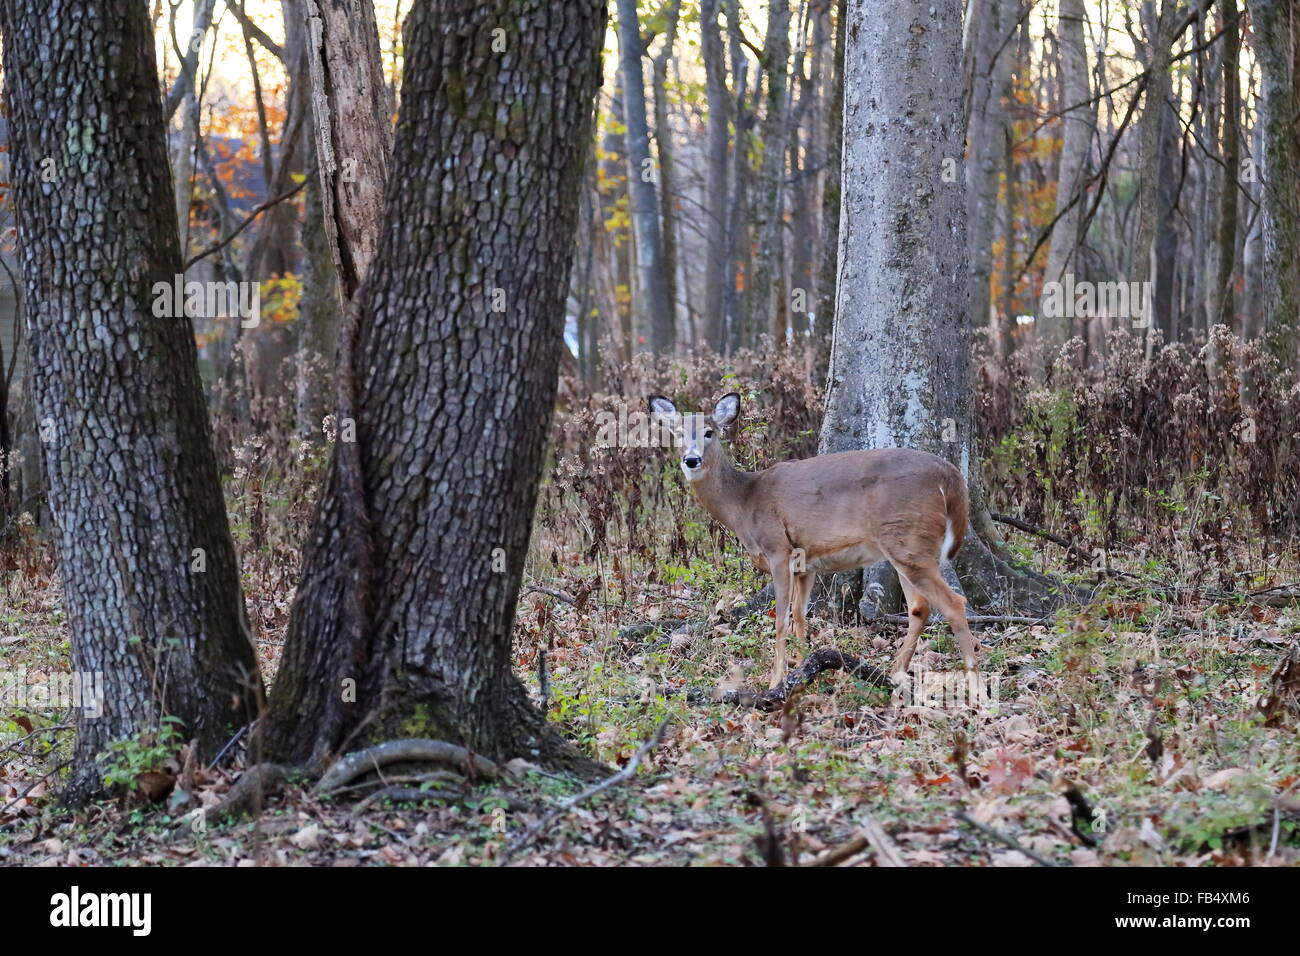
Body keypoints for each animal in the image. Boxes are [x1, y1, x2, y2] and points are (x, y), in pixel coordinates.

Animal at [648, 392, 978, 690]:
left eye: (709, 432)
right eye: (677, 433)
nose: (691, 460)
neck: (743, 502)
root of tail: (949, 474)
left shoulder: (778, 549)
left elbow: (780, 619)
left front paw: (776, 680)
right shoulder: (805, 563)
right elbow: (800, 617)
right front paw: (805, 665)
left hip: (909, 539)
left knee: (953, 603)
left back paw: (973, 682)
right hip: (903, 546)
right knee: (919, 608)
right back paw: (896, 673)